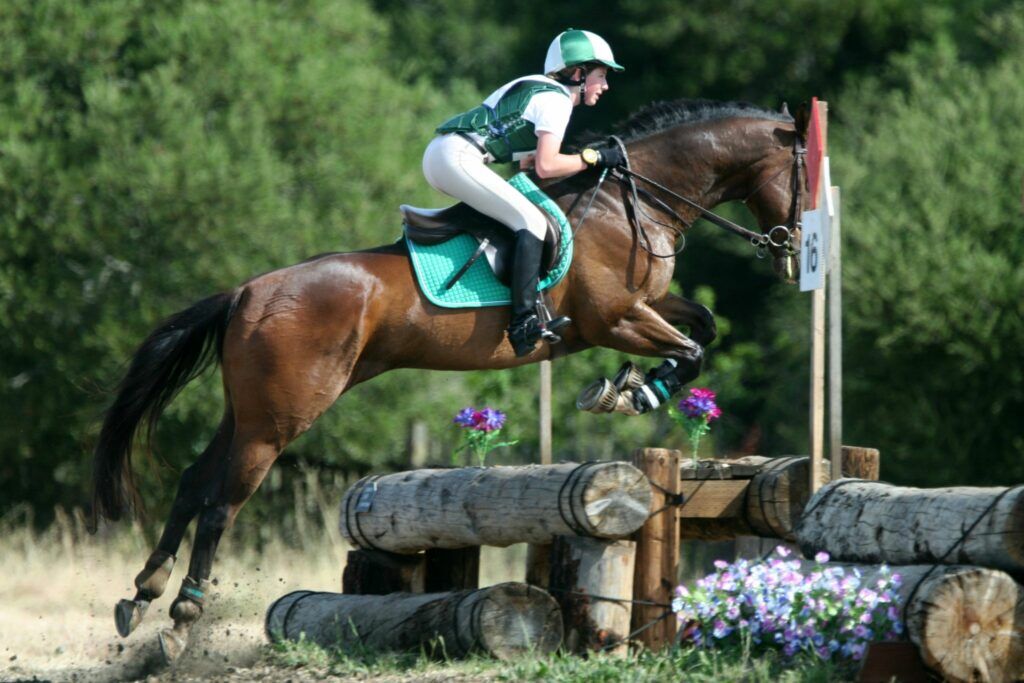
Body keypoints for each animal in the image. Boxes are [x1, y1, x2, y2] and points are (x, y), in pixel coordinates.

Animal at [91, 98, 808, 662]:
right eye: (803, 177)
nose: (792, 249)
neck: (632, 201)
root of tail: (245, 292)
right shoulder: (614, 318)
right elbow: (690, 350)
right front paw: (632, 391)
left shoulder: (643, 307)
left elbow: (701, 328)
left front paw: (631, 386)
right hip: (279, 417)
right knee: (221, 504)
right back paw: (180, 621)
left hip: (246, 409)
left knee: (192, 483)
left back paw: (141, 595)